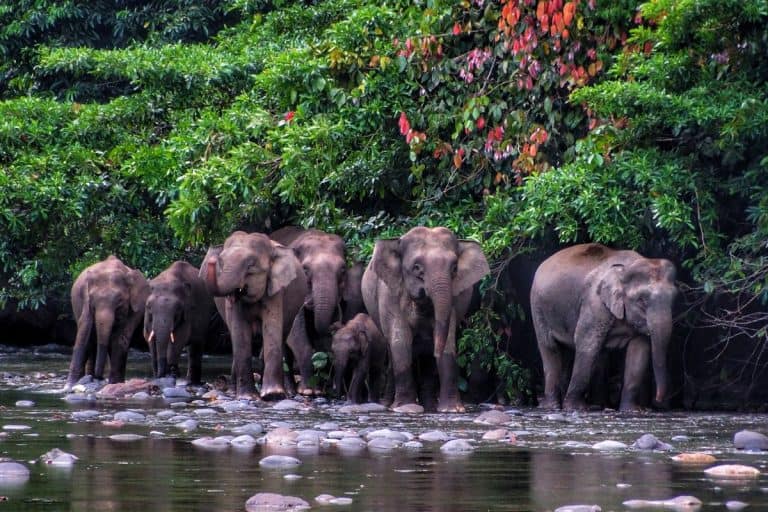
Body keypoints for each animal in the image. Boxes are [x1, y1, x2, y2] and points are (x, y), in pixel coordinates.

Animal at [66, 255, 149, 389]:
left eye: (120, 301)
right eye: (92, 302)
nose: (99, 377)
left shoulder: (135, 309)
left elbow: (119, 340)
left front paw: (114, 383)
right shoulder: (85, 303)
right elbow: (83, 336)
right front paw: (69, 386)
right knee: (91, 341)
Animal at [201, 231, 311, 399]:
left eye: (250, 266)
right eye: (221, 262)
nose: (212, 260)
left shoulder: (275, 288)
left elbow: (271, 327)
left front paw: (272, 394)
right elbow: (240, 332)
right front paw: (247, 397)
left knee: (282, 335)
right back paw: (233, 392)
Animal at [362, 226, 490, 412]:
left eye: (454, 267)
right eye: (416, 267)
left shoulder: (453, 300)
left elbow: (448, 341)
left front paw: (452, 410)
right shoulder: (390, 294)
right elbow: (400, 341)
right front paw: (405, 408)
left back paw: (429, 407)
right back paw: (388, 405)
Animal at [530, 243, 678, 411]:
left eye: (674, 299)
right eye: (642, 300)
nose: (658, 400)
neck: (625, 269)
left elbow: (639, 351)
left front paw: (633, 410)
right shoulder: (594, 303)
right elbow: (587, 343)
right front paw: (576, 408)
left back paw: (597, 405)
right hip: (538, 308)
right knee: (550, 348)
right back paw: (552, 407)